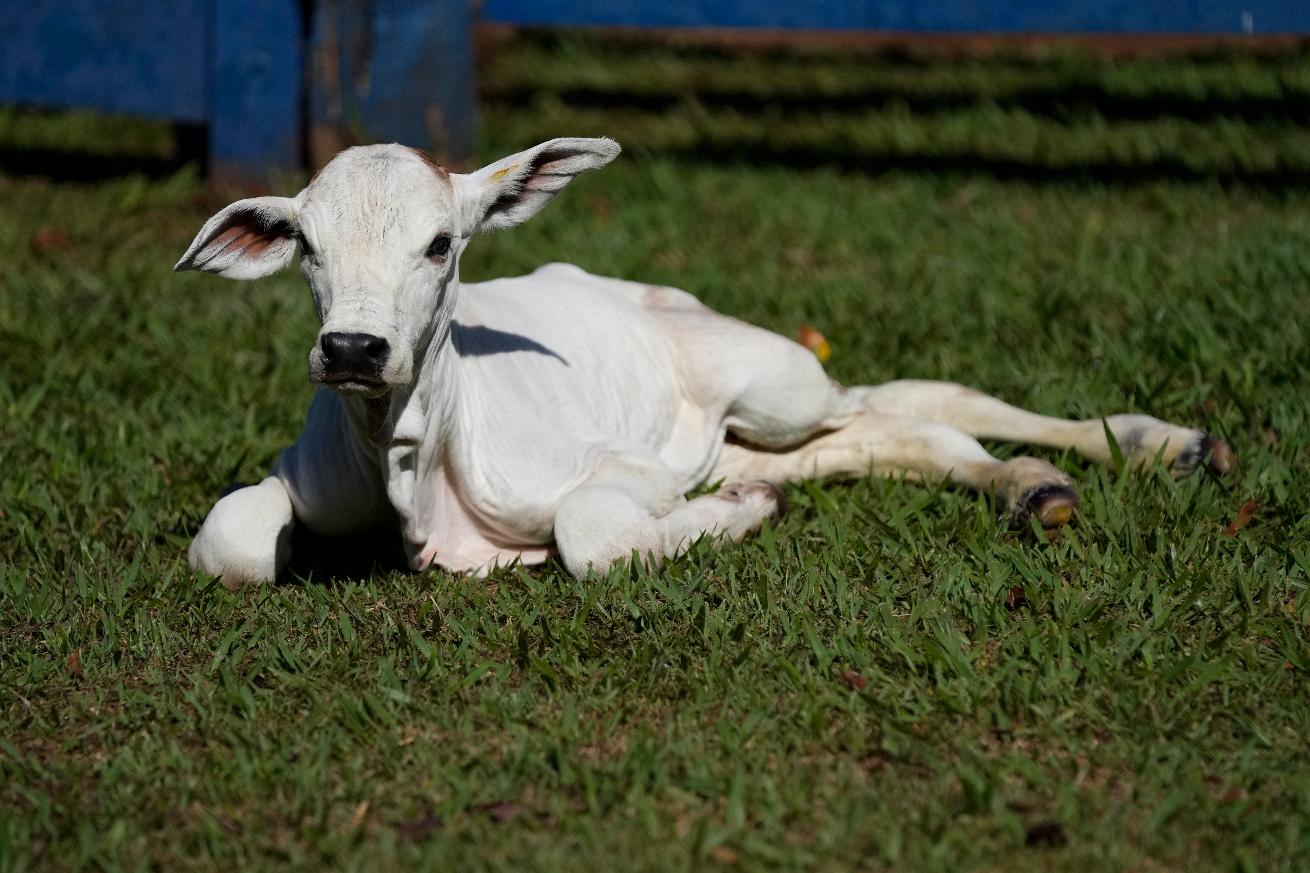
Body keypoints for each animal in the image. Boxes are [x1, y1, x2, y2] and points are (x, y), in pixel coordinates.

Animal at [176, 138, 1234, 587]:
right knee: (889, 433)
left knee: (910, 402)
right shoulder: (297, 477)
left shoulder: (623, 467)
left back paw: (1147, 448)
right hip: (759, 426)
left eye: (442, 243)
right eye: (306, 247)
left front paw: (731, 518)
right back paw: (1036, 486)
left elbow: (591, 536)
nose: (354, 348)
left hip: (774, 384)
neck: (410, 459)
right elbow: (230, 541)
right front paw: (741, 510)